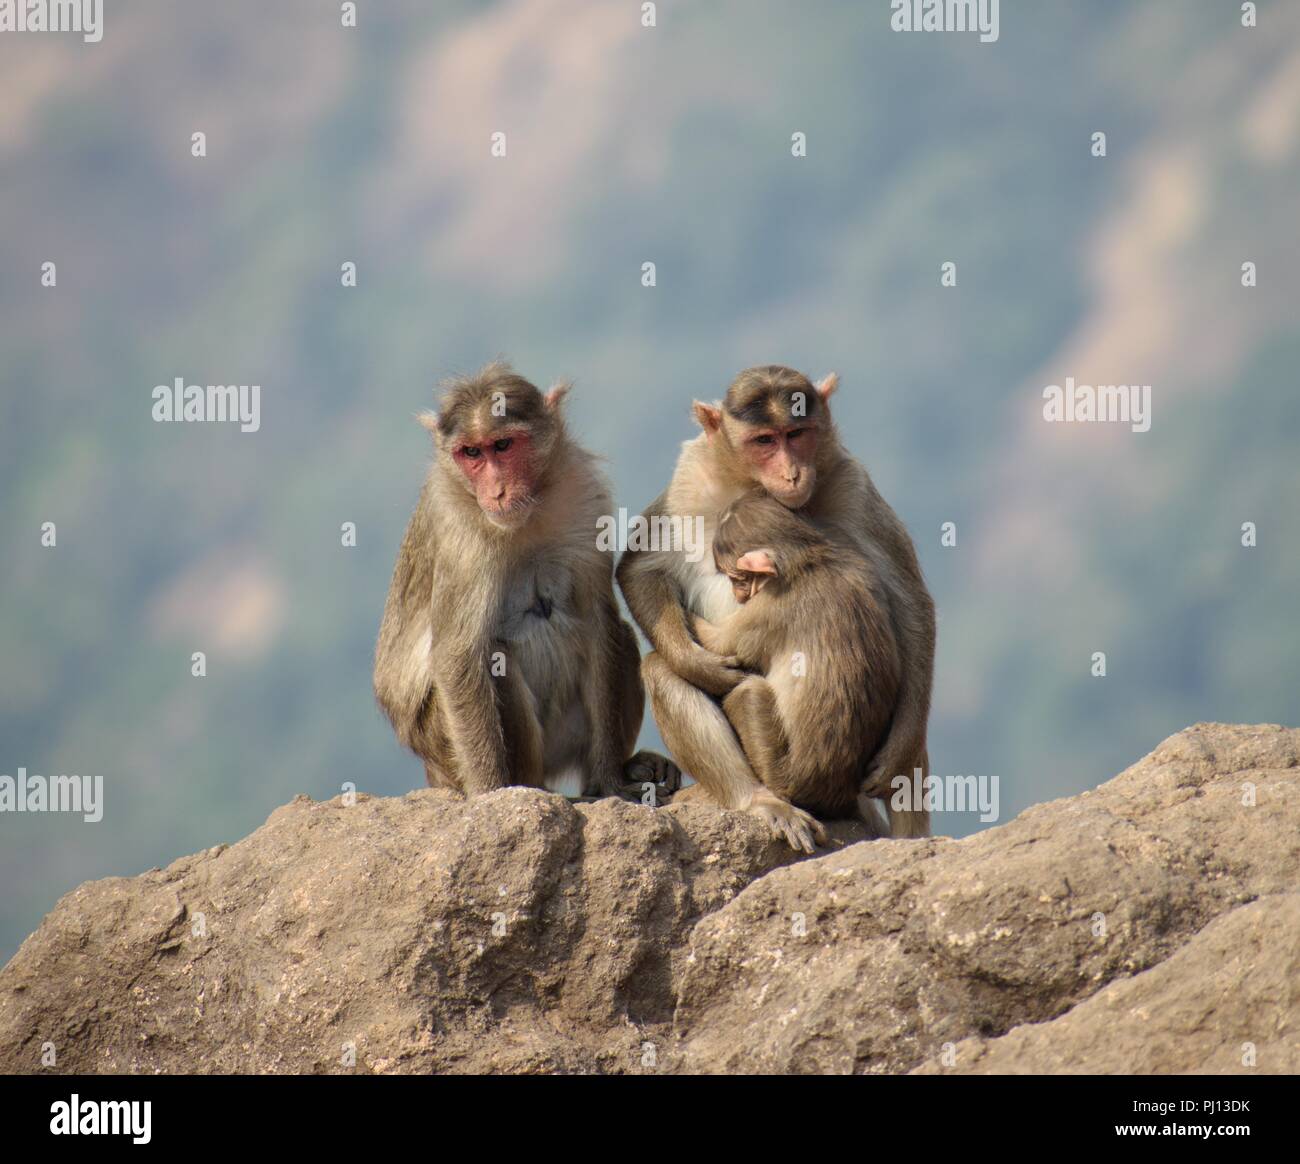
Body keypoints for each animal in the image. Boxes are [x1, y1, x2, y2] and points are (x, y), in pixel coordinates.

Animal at [374, 361, 679, 802]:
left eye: (503, 445)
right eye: (471, 453)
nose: (497, 492)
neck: (529, 515)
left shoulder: (583, 492)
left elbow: (598, 619)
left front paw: (609, 780)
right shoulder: (462, 540)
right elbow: (457, 656)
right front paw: (489, 792)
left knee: (618, 631)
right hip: (442, 744)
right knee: (495, 654)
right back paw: (524, 786)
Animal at [688, 491, 901, 852]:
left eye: (736, 577)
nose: (737, 595)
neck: (809, 563)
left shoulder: (767, 609)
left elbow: (720, 644)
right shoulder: (864, 570)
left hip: (778, 771)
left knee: (748, 692)